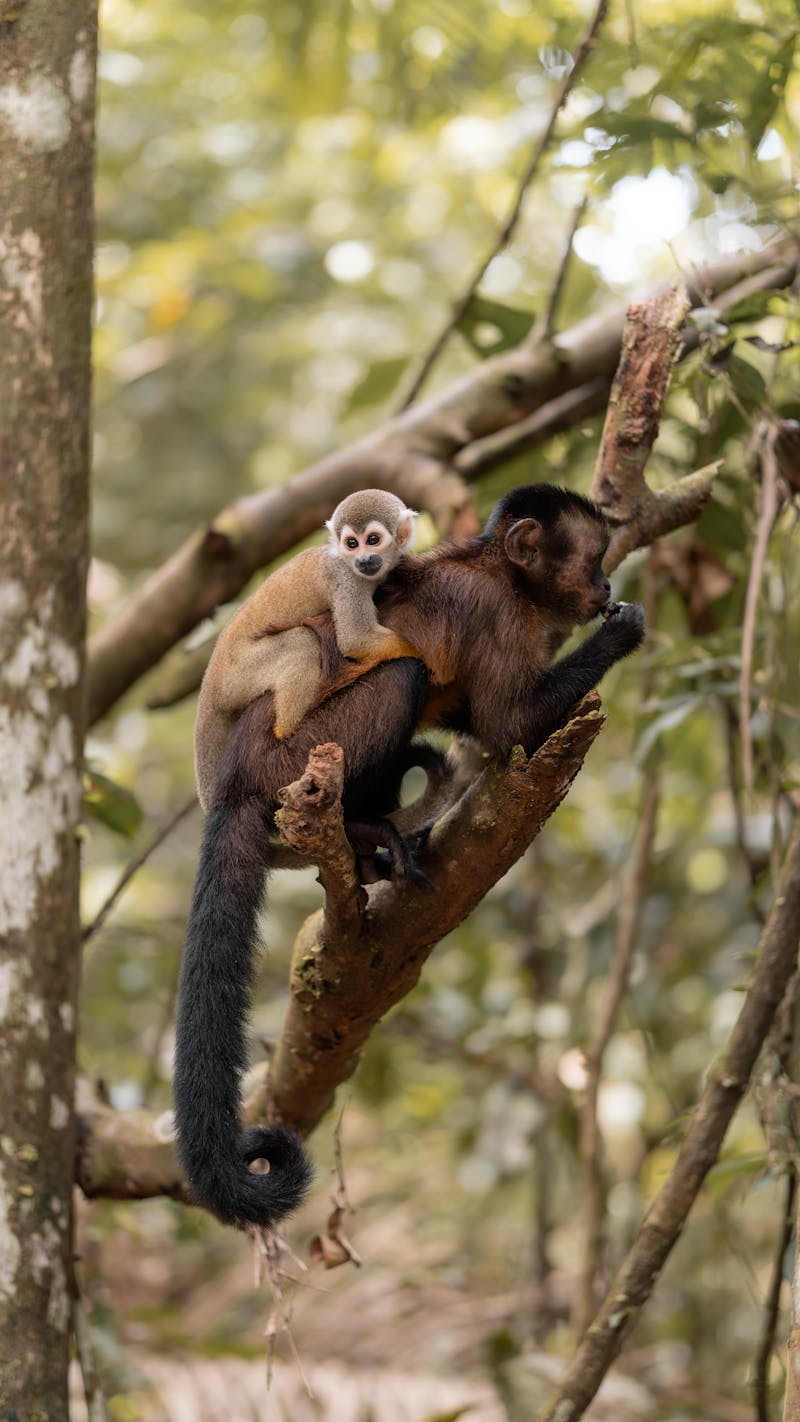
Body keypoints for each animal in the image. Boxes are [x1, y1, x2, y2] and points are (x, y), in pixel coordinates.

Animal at [194, 489, 419, 813]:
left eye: (373, 540)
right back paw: (286, 729)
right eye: (352, 543)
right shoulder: (345, 581)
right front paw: (420, 650)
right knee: (302, 644)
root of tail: (211, 679)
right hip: (239, 673)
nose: (363, 559)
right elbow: (355, 640)